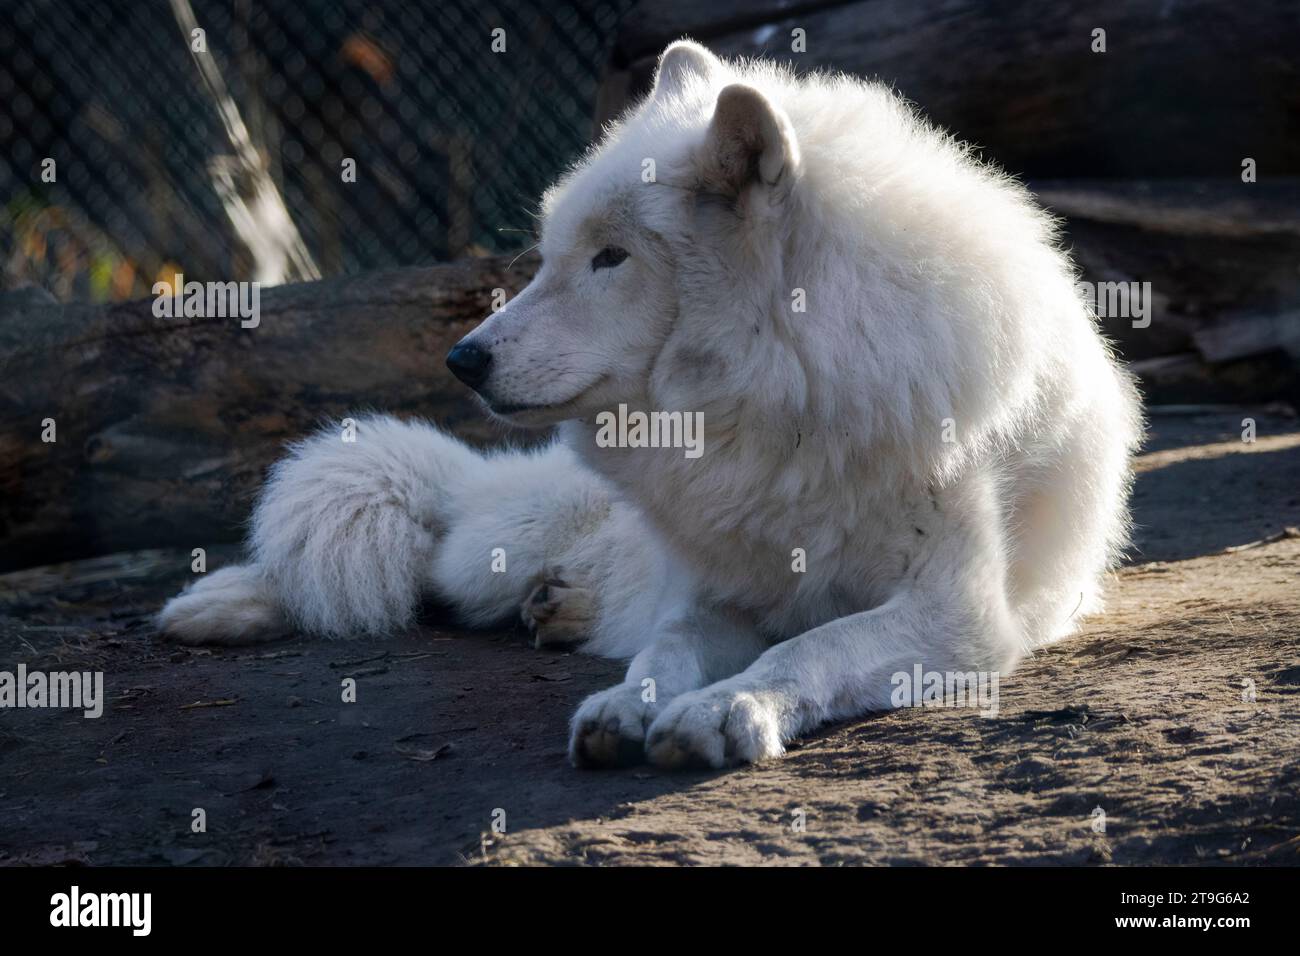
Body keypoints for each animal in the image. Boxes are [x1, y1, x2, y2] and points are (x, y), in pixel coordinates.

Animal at [159, 40, 1142, 769]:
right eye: (556, 252)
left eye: (611, 258)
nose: (462, 359)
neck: (783, 402)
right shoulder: (720, 593)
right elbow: (665, 649)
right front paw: (630, 703)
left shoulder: (957, 614)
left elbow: (809, 647)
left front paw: (725, 709)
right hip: (497, 544)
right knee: (415, 546)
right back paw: (213, 606)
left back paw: (561, 611)